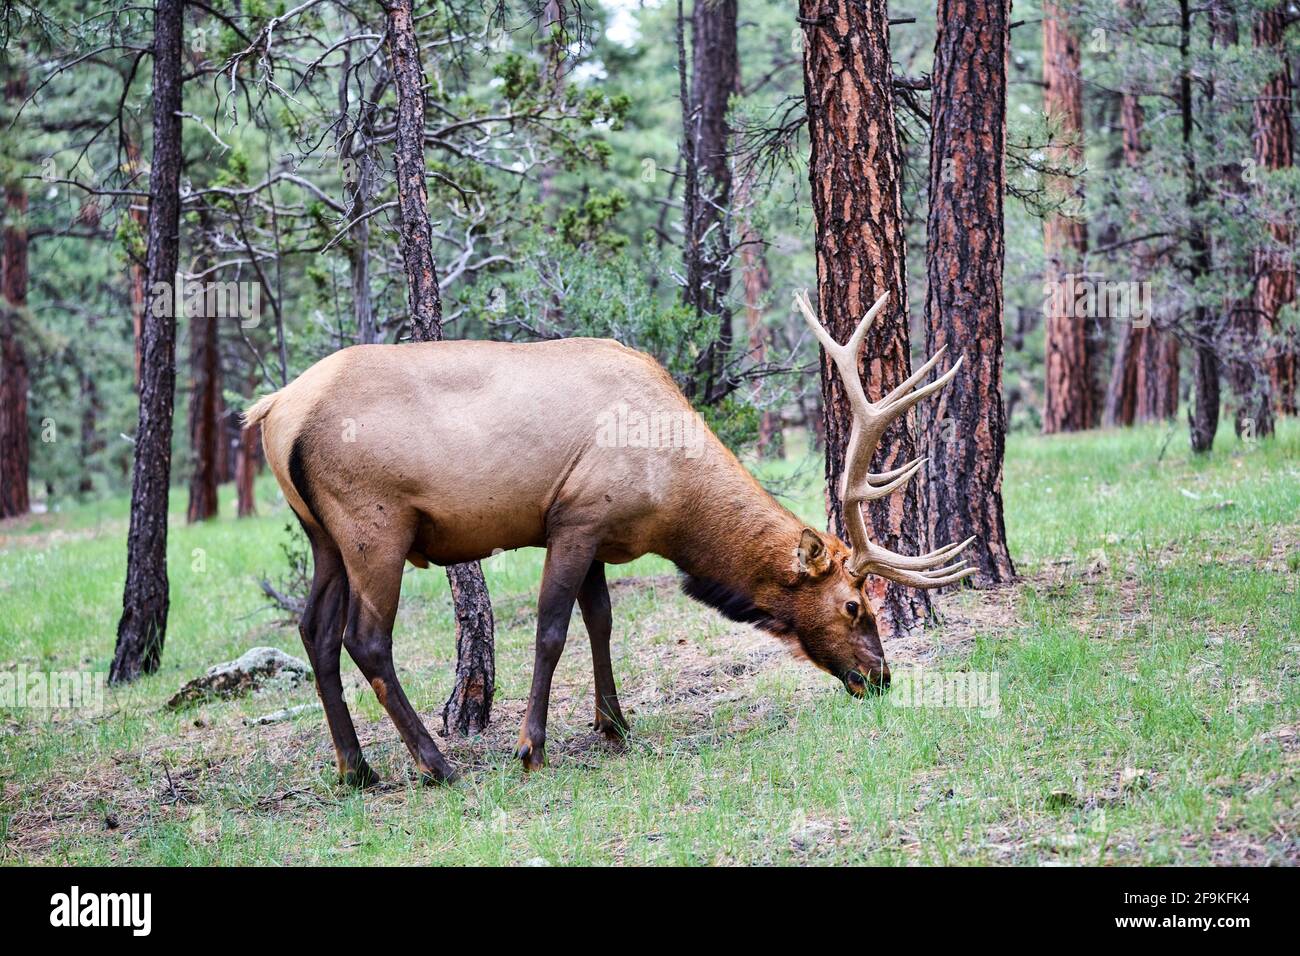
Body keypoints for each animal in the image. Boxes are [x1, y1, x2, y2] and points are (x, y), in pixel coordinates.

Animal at [243, 289, 973, 785]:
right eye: (853, 605)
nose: (880, 676)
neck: (673, 498)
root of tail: (272, 410)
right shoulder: (575, 517)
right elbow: (551, 629)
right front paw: (531, 745)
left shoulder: (595, 534)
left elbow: (600, 620)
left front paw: (614, 723)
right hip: (376, 524)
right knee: (365, 639)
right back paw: (435, 763)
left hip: (323, 535)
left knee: (313, 630)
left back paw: (356, 768)